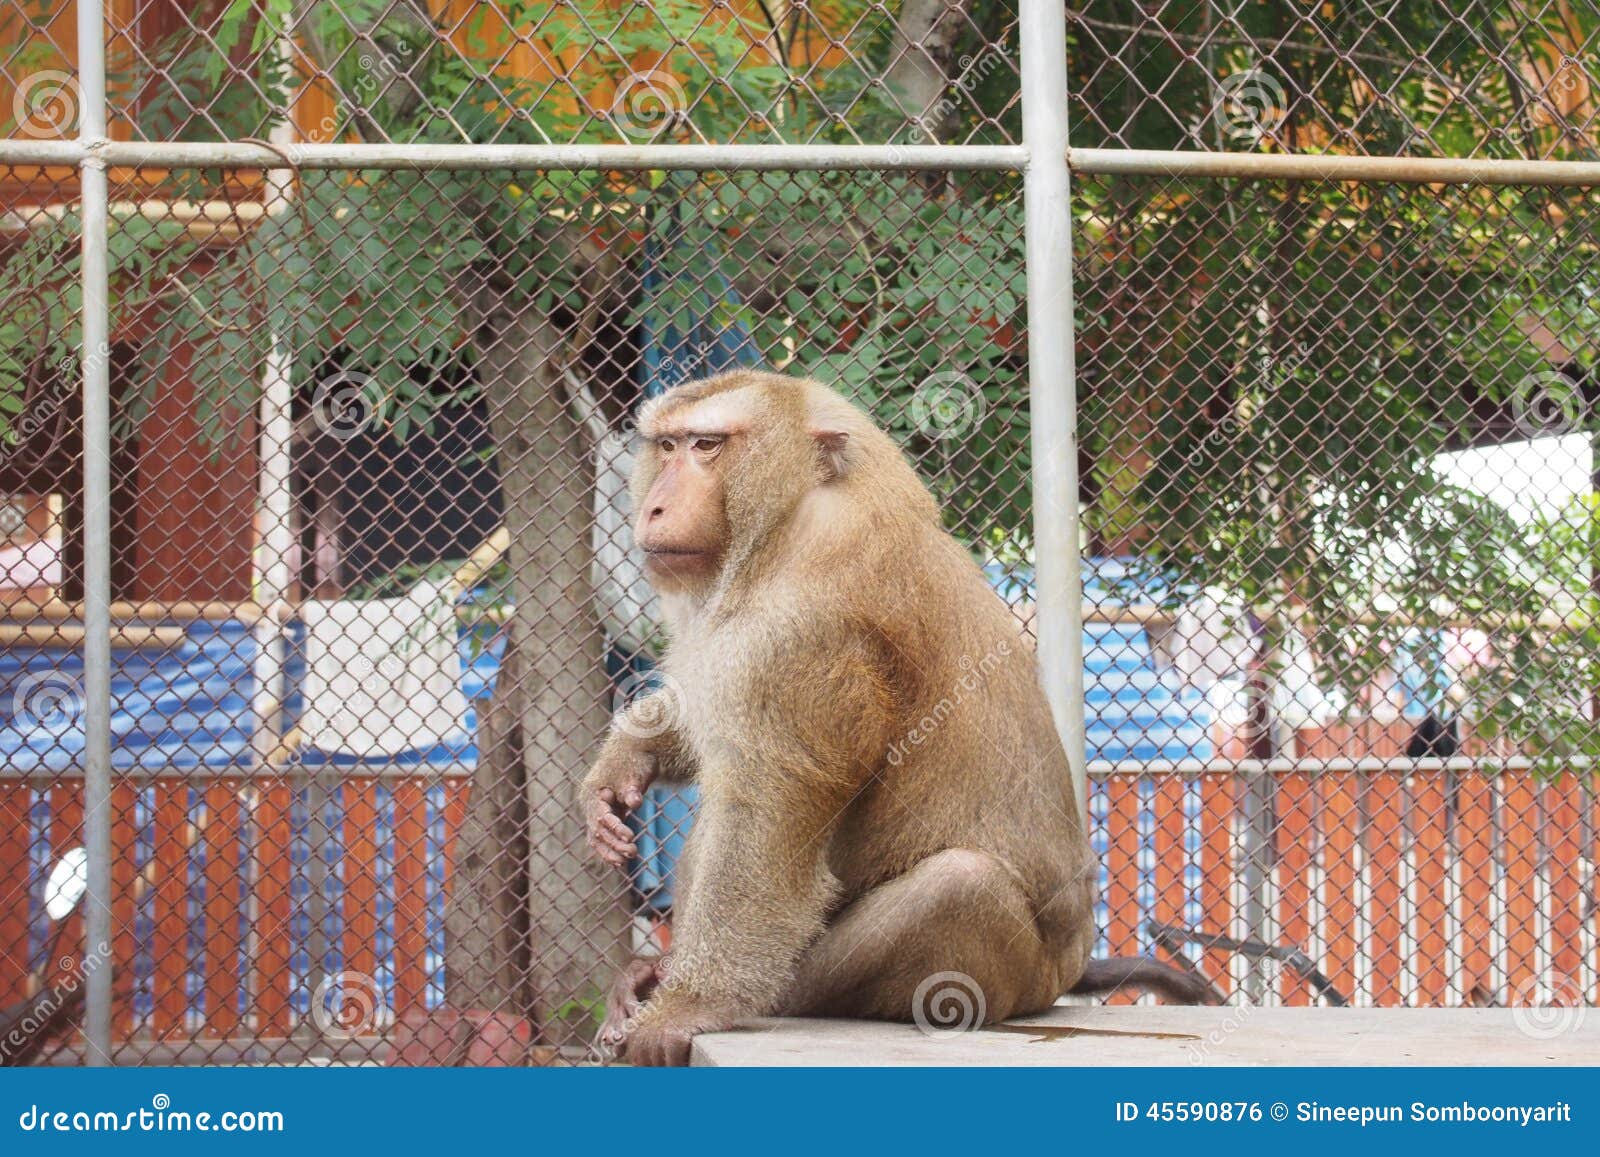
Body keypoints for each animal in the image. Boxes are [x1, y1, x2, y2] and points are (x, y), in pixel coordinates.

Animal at [580, 370, 1219, 1066]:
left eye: (707, 445)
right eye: (667, 446)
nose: (654, 507)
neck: (786, 522)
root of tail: (1071, 963)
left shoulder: (804, 633)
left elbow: (770, 804)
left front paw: (693, 1005)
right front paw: (626, 760)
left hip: (1008, 976)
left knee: (961, 885)